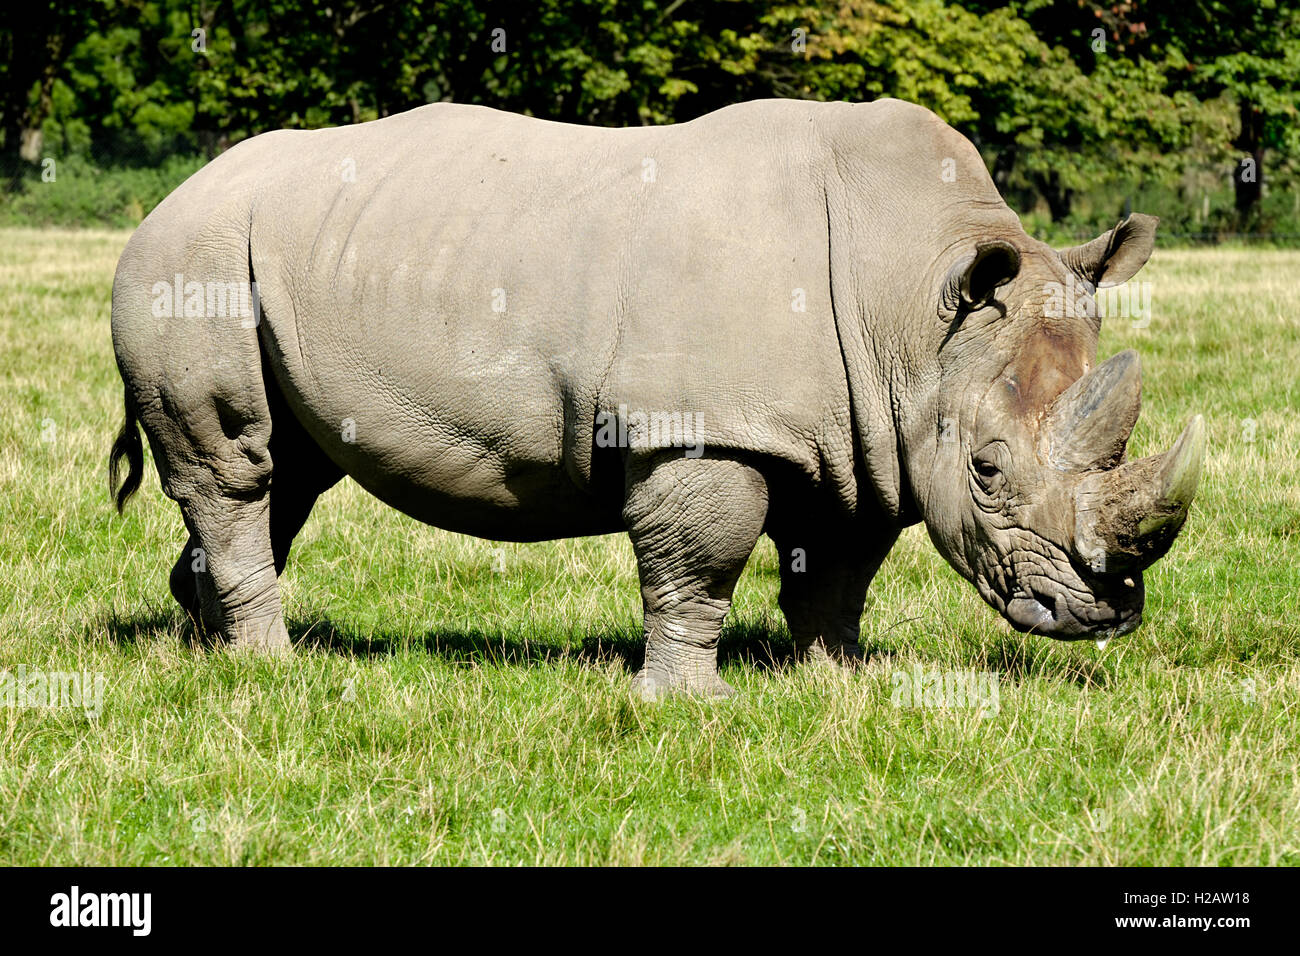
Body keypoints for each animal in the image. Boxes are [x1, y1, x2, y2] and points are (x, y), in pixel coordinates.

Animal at [108, 98, 1204, 697]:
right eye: (986, 470)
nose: (1103, 610)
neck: (909, 302)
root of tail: (168, 196)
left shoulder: (867, 435)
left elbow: (838, 570)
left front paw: (840, 680)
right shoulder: (710, 428)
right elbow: (699, 562)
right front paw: (687, 702)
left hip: (261, 255)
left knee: (284, 475)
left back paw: (206, 651)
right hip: (191, 259)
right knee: (240, 465)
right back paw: (270, 667)